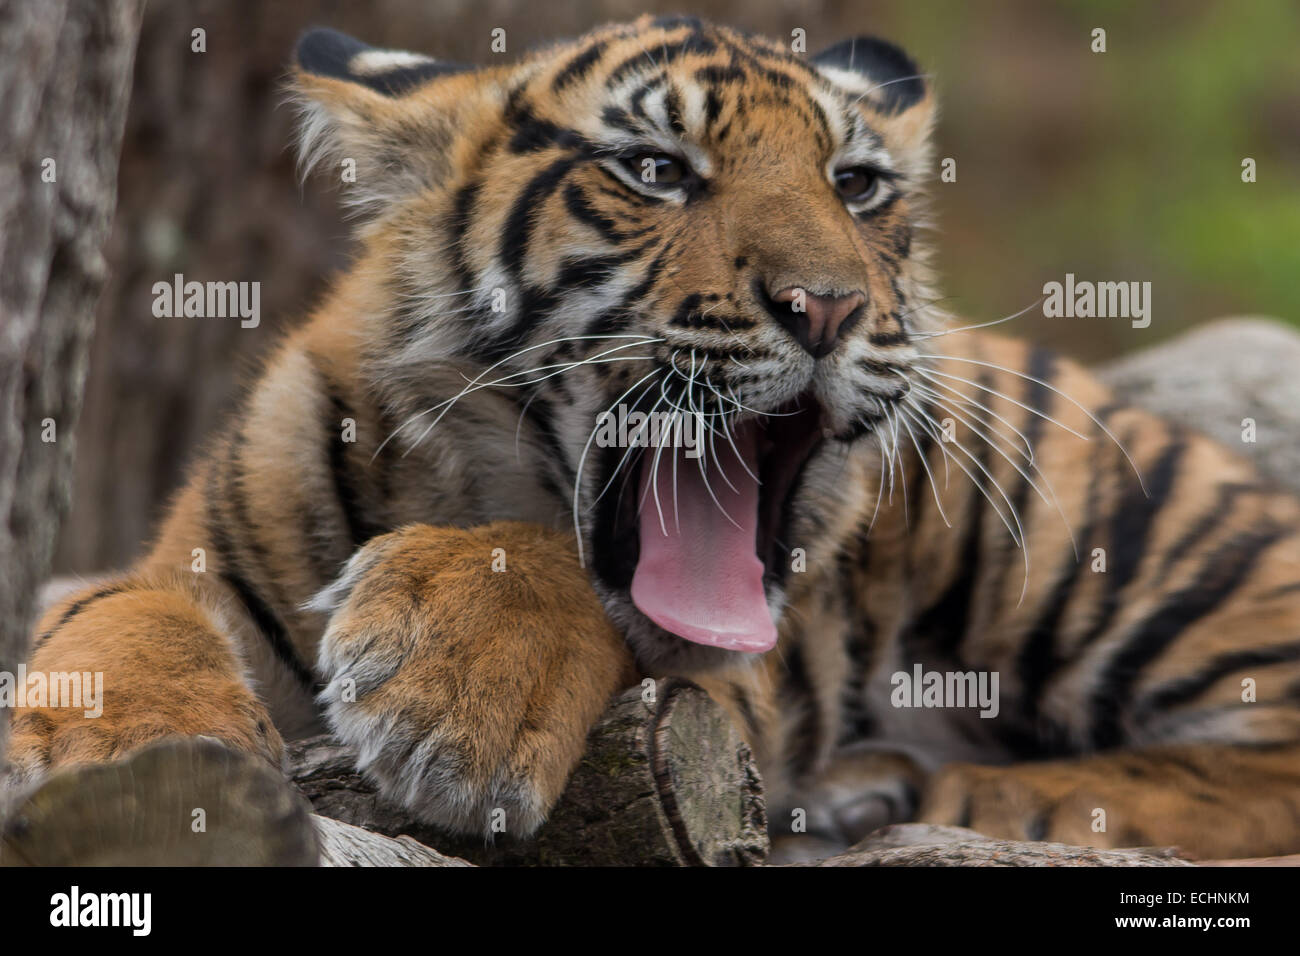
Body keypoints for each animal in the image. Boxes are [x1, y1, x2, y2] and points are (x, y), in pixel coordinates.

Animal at [12, 14, 1300, 864]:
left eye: (857, 184)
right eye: (656, 170)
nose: (829, 304)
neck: (467, 484)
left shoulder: (730, 688)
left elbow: (579, 587)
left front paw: (454, 696)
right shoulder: (182, 563)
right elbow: (120, 618)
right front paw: (130, 758)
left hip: (1087, 528)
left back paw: (981, 801)